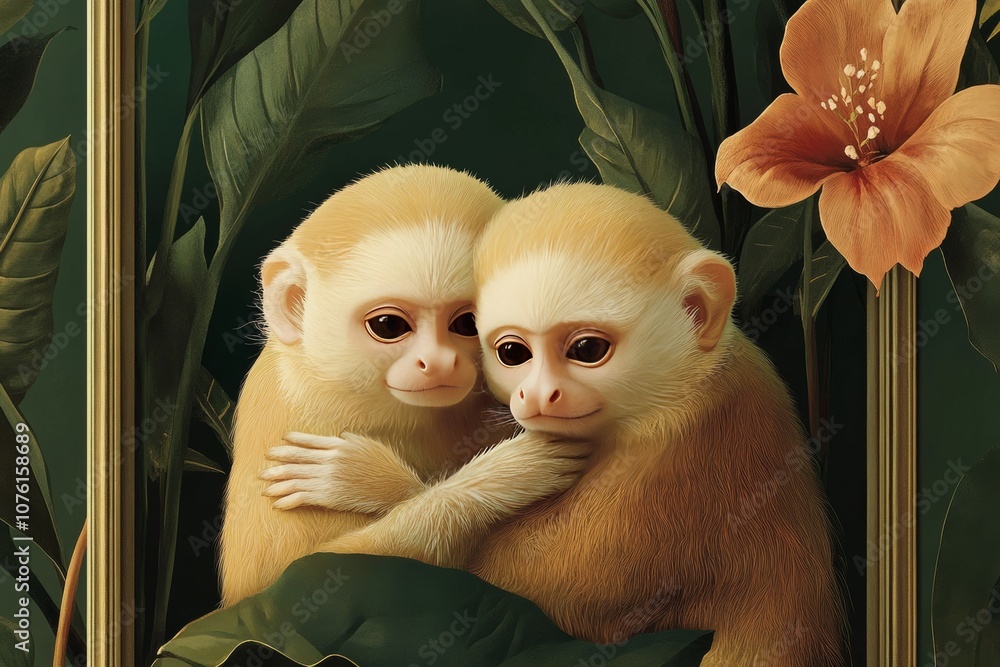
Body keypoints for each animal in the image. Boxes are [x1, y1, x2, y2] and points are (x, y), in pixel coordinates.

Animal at [218, 165, 587, 606]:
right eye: (388, 325)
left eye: (467, 323)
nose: (439, 362)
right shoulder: (293, 415)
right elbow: (303, 577)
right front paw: (512, 473)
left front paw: (361, 478)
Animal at [266, 182, 845, 666]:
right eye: (511, 352)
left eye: (587, 350)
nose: (538, 394)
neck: (690, 384)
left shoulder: (671, 464)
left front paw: (364, 477)